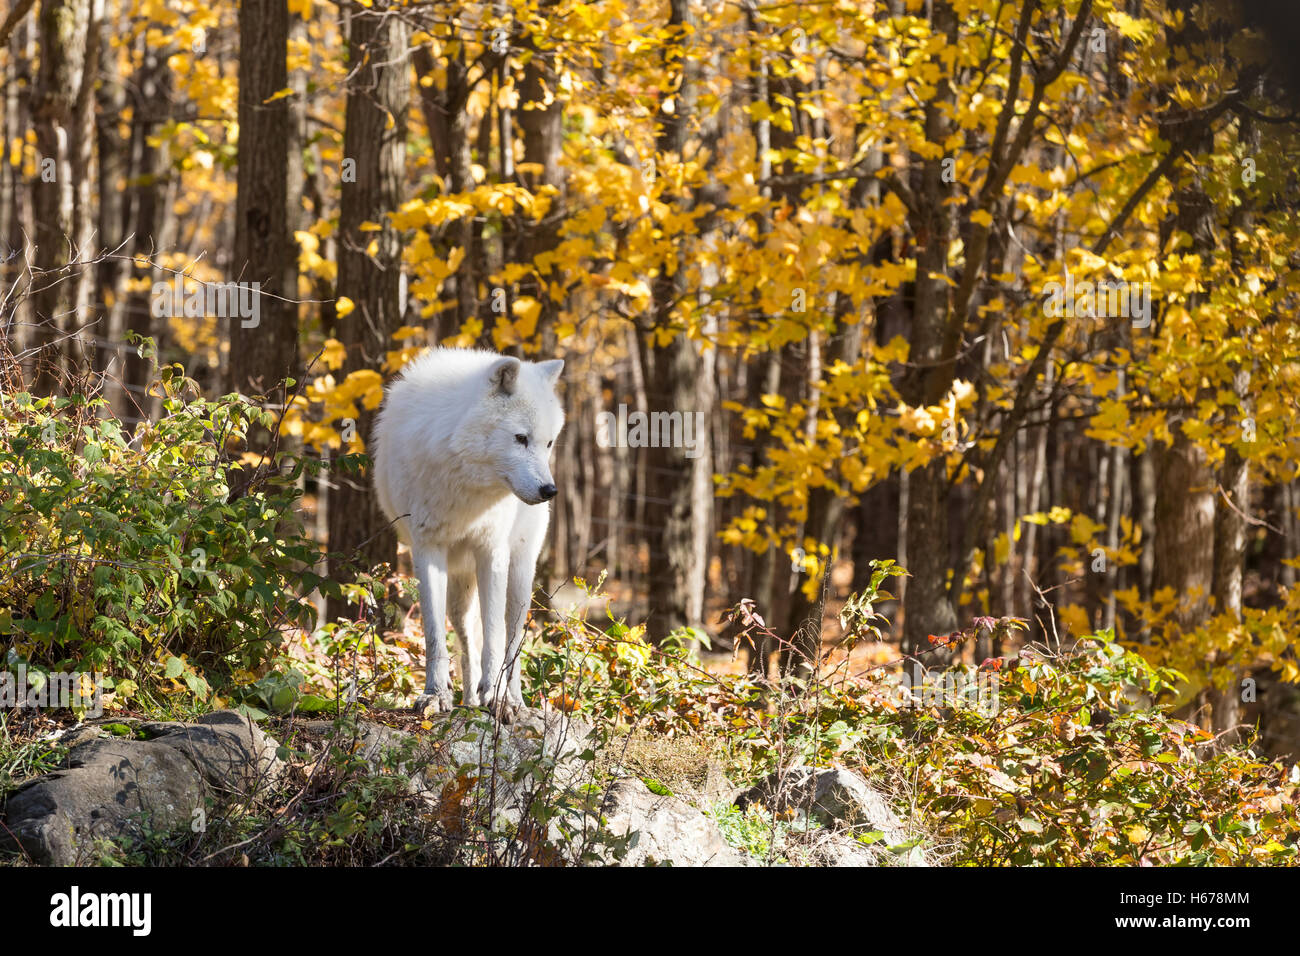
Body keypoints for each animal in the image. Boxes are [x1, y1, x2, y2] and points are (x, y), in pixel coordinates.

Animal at [372, 348, 564, 723]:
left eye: (548, 443)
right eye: (521, 438)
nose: (550, 490)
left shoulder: (491, 549)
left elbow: (494, 635)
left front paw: (498, 698)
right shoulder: (427, 548)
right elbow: (434, 634)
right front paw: (435, 696)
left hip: (520, 578)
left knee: (511, 641)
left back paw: (513, 699)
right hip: (459, 591)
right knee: (466, 640)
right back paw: (470, 698)